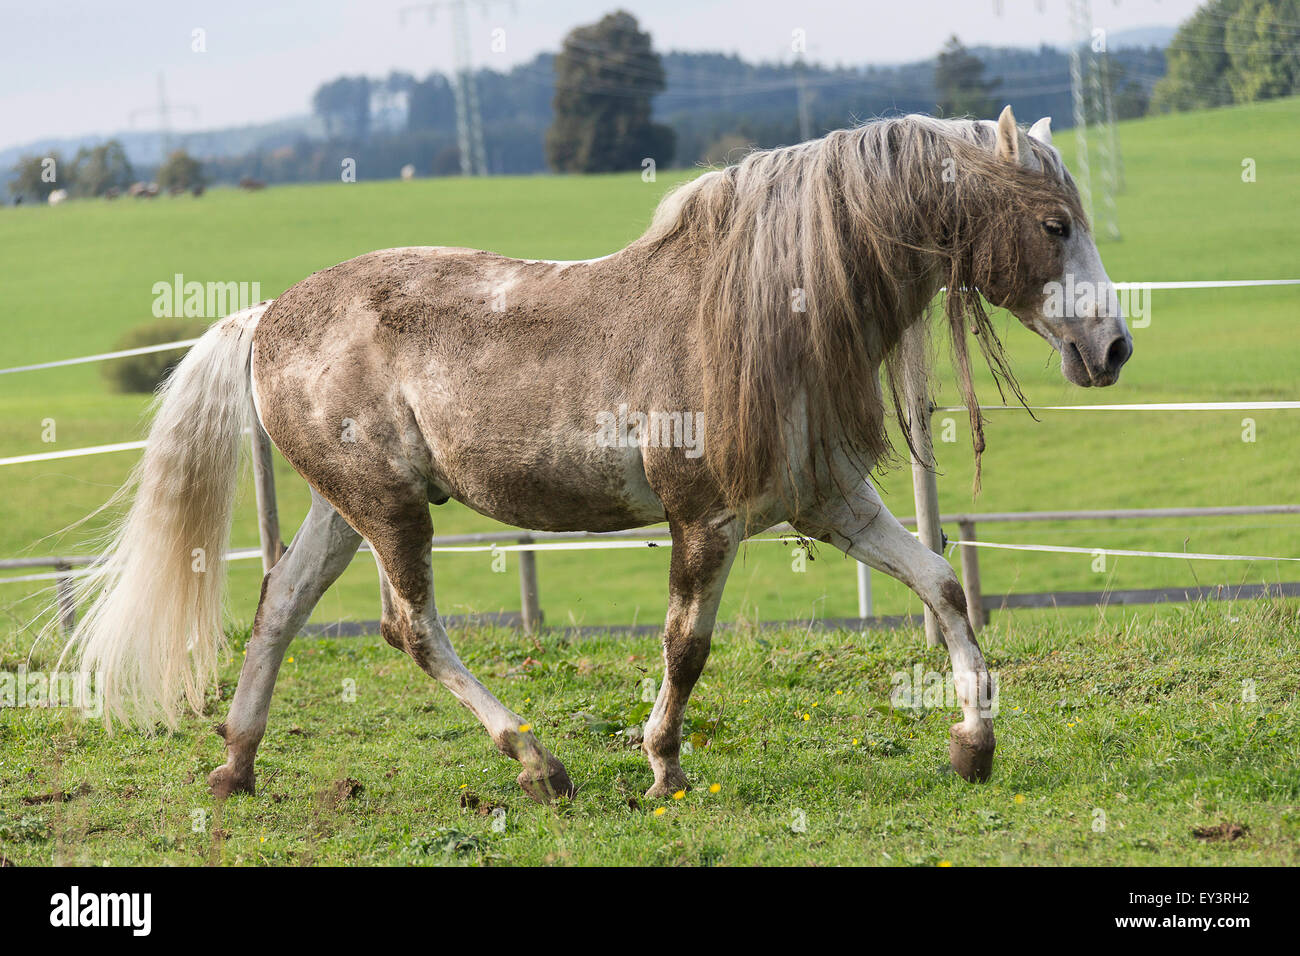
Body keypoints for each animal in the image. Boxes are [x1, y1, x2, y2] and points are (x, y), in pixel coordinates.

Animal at [57, 106, 1131, 802]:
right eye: (1052, 223)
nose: (1114, 347)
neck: (760, 315)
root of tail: (264, 318)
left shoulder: (830, 502)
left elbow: (942, 584)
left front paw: (973, 745)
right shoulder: (707, 520)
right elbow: (686, 646)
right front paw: (662, 767)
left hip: (347, 506)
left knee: (280, 608)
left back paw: (237, 766)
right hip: (390, 511)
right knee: (410, 628)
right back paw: (538, 765)